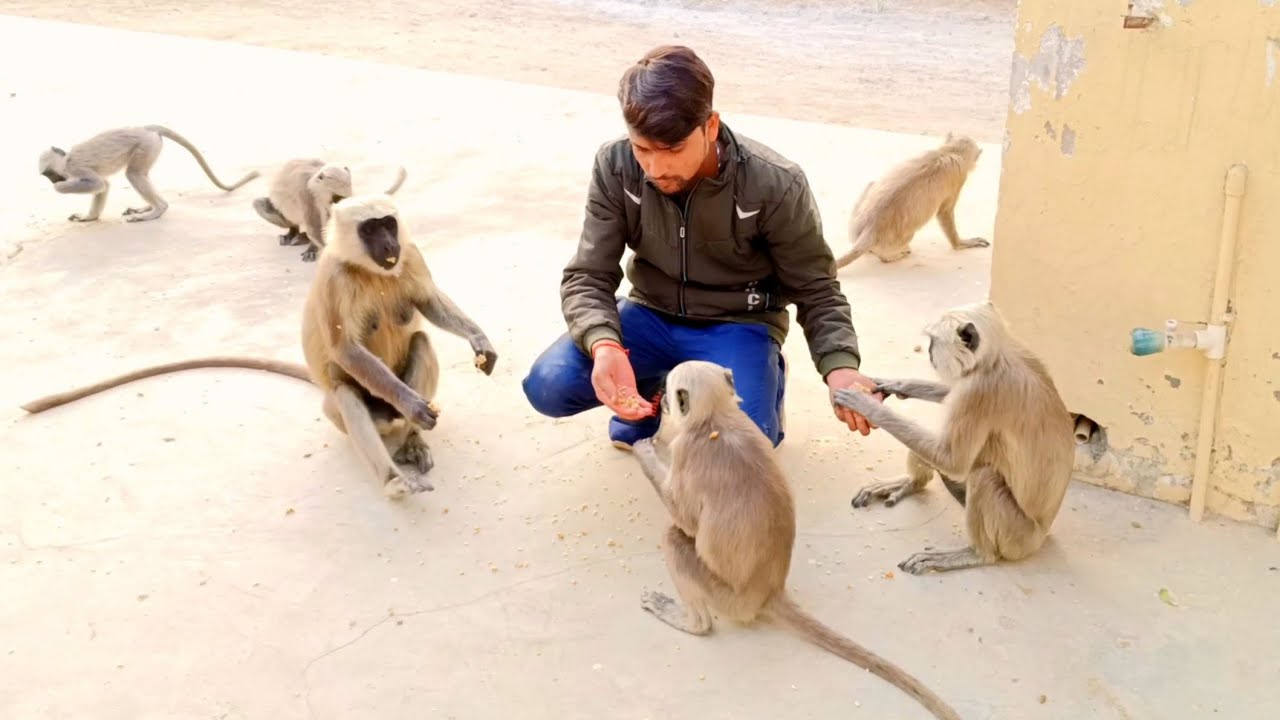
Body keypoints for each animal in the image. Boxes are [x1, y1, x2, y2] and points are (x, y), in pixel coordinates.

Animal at [38, 125, 259, 223]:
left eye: (50, 175)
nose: (54, 180)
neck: (66, 160)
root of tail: (145, 128)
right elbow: (104, 186)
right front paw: (89, 217)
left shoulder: (75, 168)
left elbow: (98, 184)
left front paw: (60, 187)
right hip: (150, 147)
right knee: (139, 174)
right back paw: (148, 208)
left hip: (146, 145)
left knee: (134, 174)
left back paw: (156, 210)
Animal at [252, 160, 407, 262]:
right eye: (337, 198)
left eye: (344, 198)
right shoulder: (306, 193)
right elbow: (315, 227)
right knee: (260, 204)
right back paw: (294, 233)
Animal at [631, 360, 963, 720]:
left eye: (670, 394)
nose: (663, 401)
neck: (716, 417)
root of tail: (769, 594)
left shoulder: (686, 450)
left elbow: (686, 521)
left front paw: (643, 451)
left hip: (723, 594)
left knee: (675, 541)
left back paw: (691, 621)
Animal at [831, 300, 1075, 576]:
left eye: (933, 342)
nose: (929, 353)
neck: (997, 357)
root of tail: (1042, 535)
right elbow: (950, 396)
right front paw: (898, 384)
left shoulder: (978, 391)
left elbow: (952, 461)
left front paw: (866, 405)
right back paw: (911, 483)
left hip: (1016, 536)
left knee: (982, 474)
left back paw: (976, 554)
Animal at [834, 133, 987, 268]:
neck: (947, 152)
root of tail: (869, 232)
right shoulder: (959, 175)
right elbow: (945, 212)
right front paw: (960, 243)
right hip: (895, 242)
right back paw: (891, 256)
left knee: (872, 184)